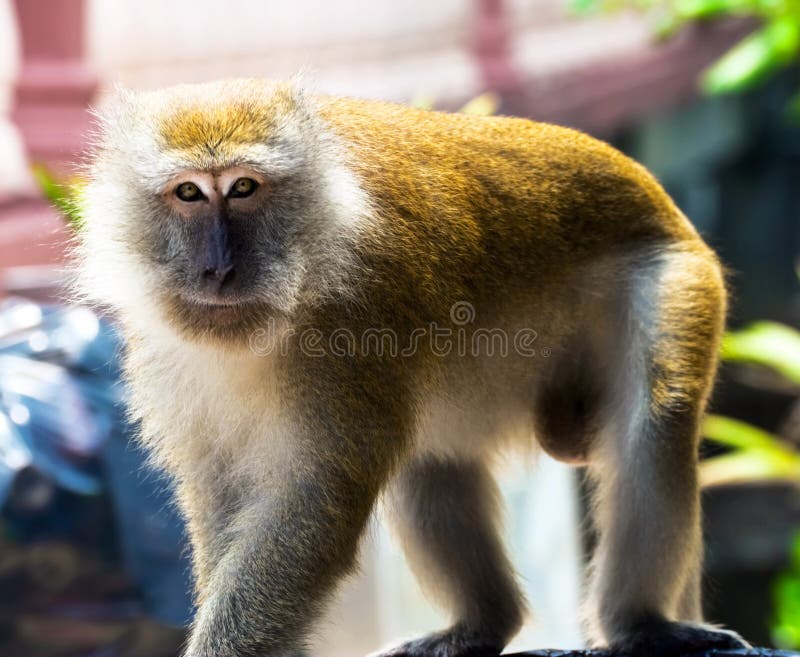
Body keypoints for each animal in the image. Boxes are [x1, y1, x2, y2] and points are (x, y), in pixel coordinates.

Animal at [74, 78, 749, 657]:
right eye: (189, 193)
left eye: (243, 188)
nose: (218, 269)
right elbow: (224, 500)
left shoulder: (351, 331)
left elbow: (314, 504)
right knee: (430, 456)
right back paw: (482, 624)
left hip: (677, 278)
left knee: (655, 426)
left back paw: (639, 622)